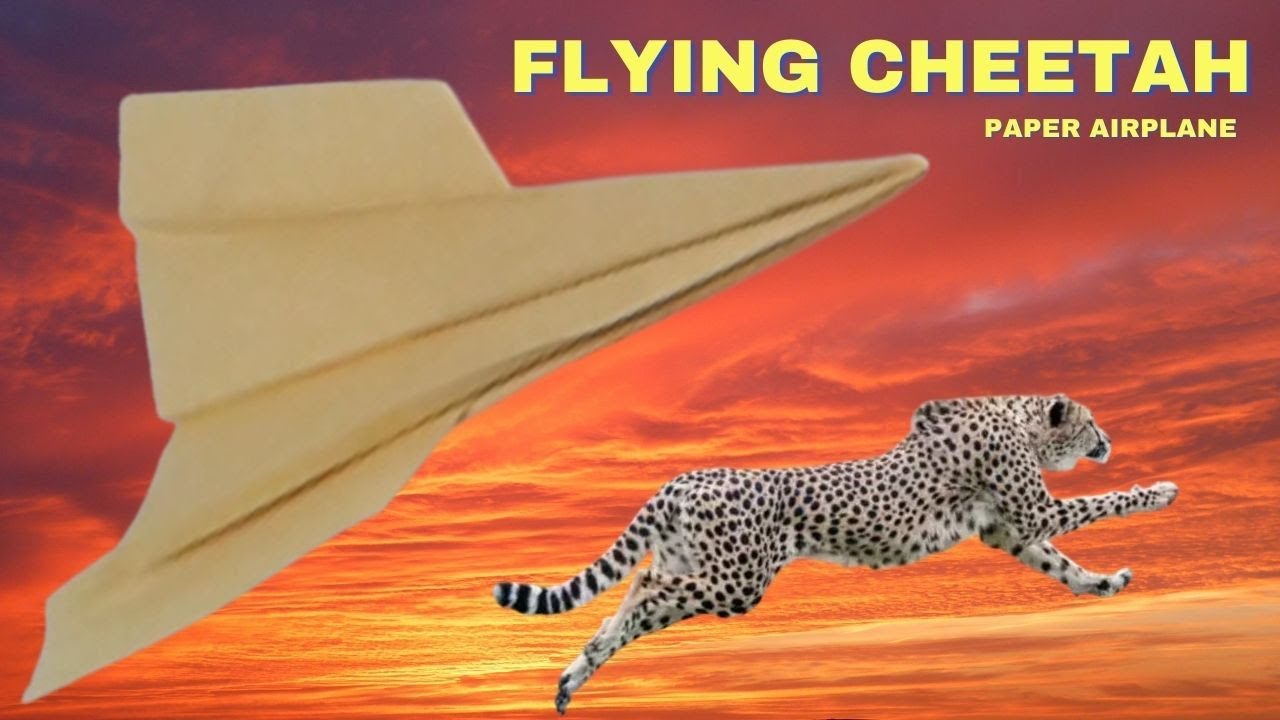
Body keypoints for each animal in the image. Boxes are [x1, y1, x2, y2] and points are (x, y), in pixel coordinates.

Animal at [492, 394, 1179, 714]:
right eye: (1091, 424)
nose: (1108, 439)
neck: (1020, 420)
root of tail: (681, 477)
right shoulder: (1030, 512)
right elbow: (1103, 501)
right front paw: (1161, 490)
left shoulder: (1006, 530)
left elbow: (1061, 565)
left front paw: (1103, 584)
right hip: (737, 581)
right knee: (641, 587)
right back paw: (585, 660)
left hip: (705, 571)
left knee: (638, 596)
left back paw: (576, 672)